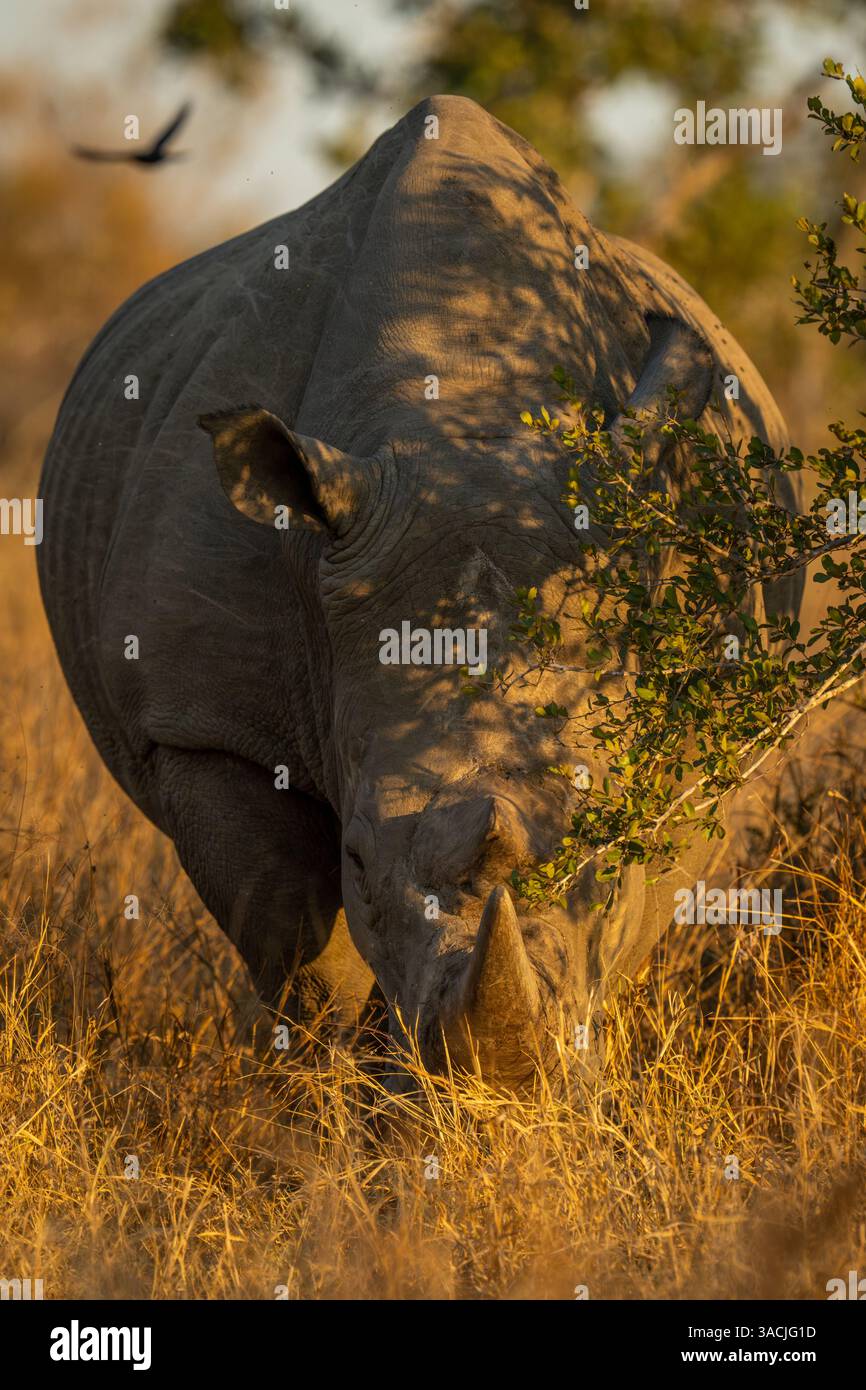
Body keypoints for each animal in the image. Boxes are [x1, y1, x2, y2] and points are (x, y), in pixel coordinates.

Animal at [38, 95, 802, 1088]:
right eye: (358, 856)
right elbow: (295, 942)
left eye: (609, 838)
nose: (507, 1084)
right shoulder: (202, 723)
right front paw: (331, 1091)